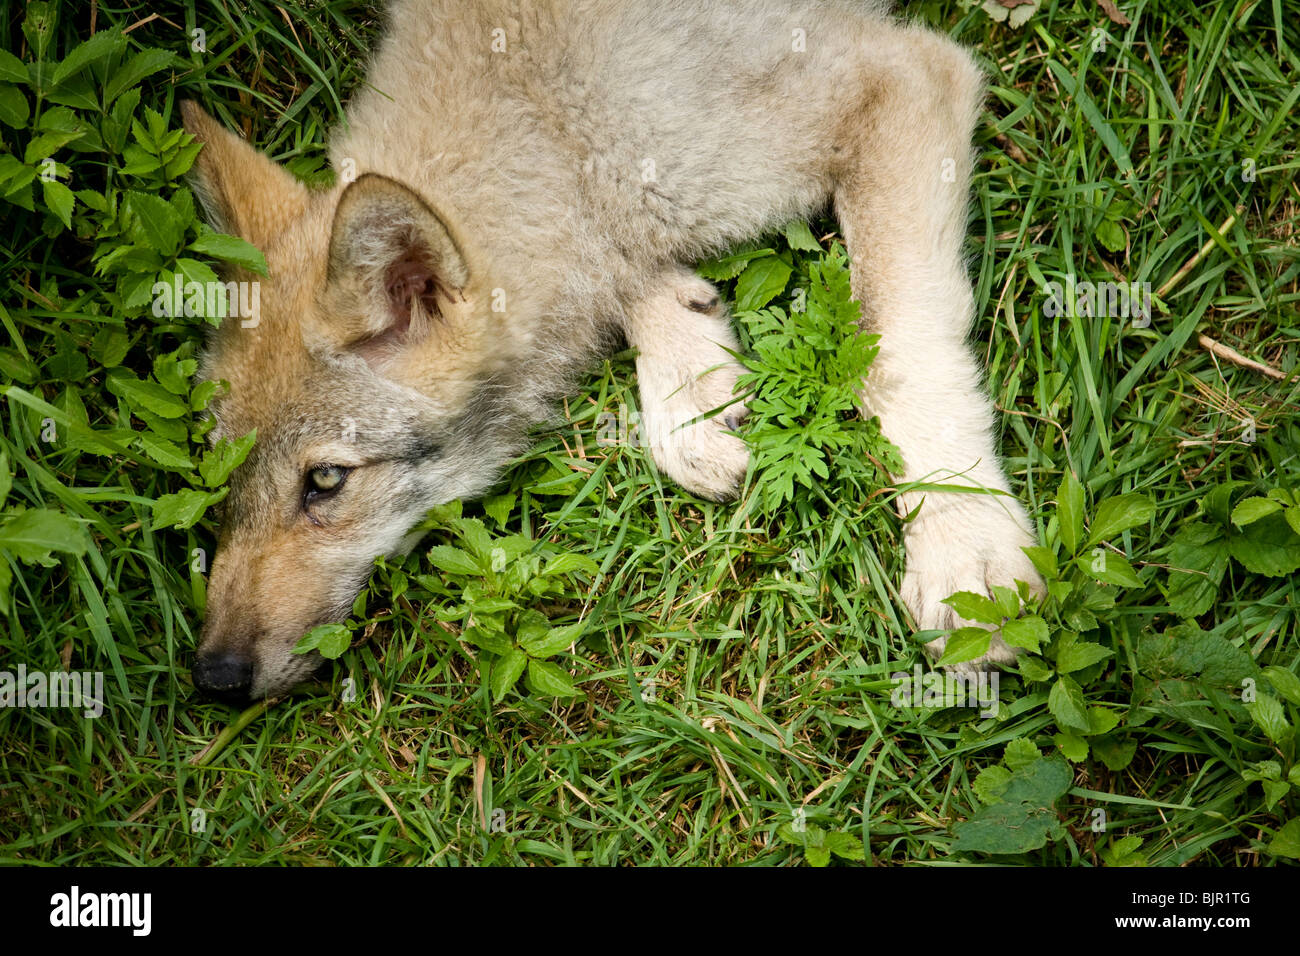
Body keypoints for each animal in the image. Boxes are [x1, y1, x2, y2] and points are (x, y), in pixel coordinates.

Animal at [183, 0, 1043, 703]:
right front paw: (692, 391)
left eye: (326, 482)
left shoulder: (902, 74)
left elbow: (898, 353)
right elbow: (640, 295)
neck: (554, 122)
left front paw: (966, 545)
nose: (214, 678)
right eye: (222, 480)